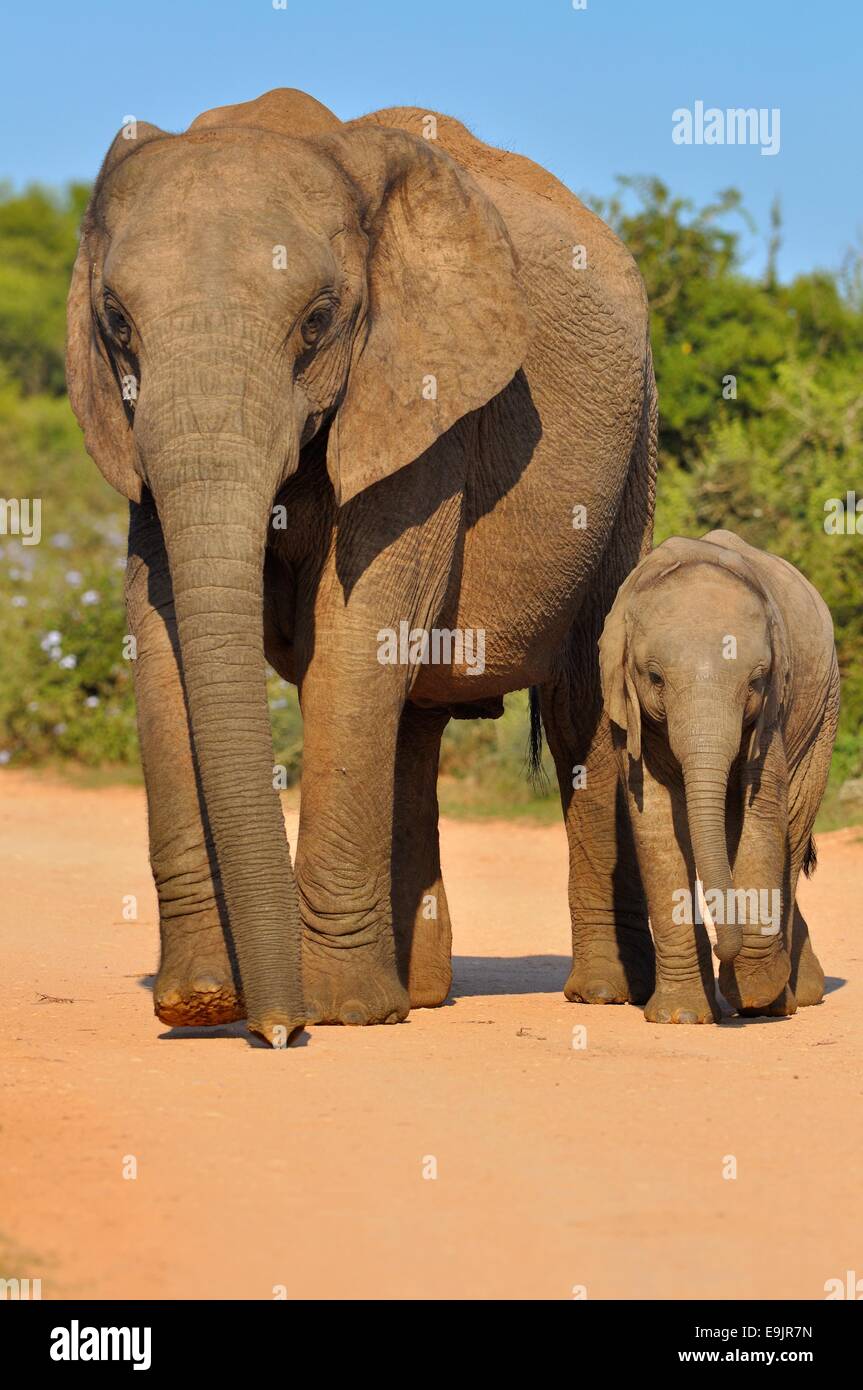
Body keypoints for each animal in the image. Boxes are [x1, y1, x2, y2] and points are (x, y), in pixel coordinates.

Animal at [67, 87, 658, 1044]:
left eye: (317, 321)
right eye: (116, 323)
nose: (274, 1032)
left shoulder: (422, 397)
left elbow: (352, 636)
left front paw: (335, 1013)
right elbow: (158, 635)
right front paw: (201, 1003)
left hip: (632, 447)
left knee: (579, 707)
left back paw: (598, 994)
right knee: (413, 722)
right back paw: (417, 995)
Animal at [598, 529, 839, 1023]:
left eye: (756, 682)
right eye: (655, 678)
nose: (722, 952)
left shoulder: (773, 714)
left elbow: (759, 812)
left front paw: (755, 994)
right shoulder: (628, 714)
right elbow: (654, 821)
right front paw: (681, 1016)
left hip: (824, 713)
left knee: (792, 832)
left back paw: (785, 1000)